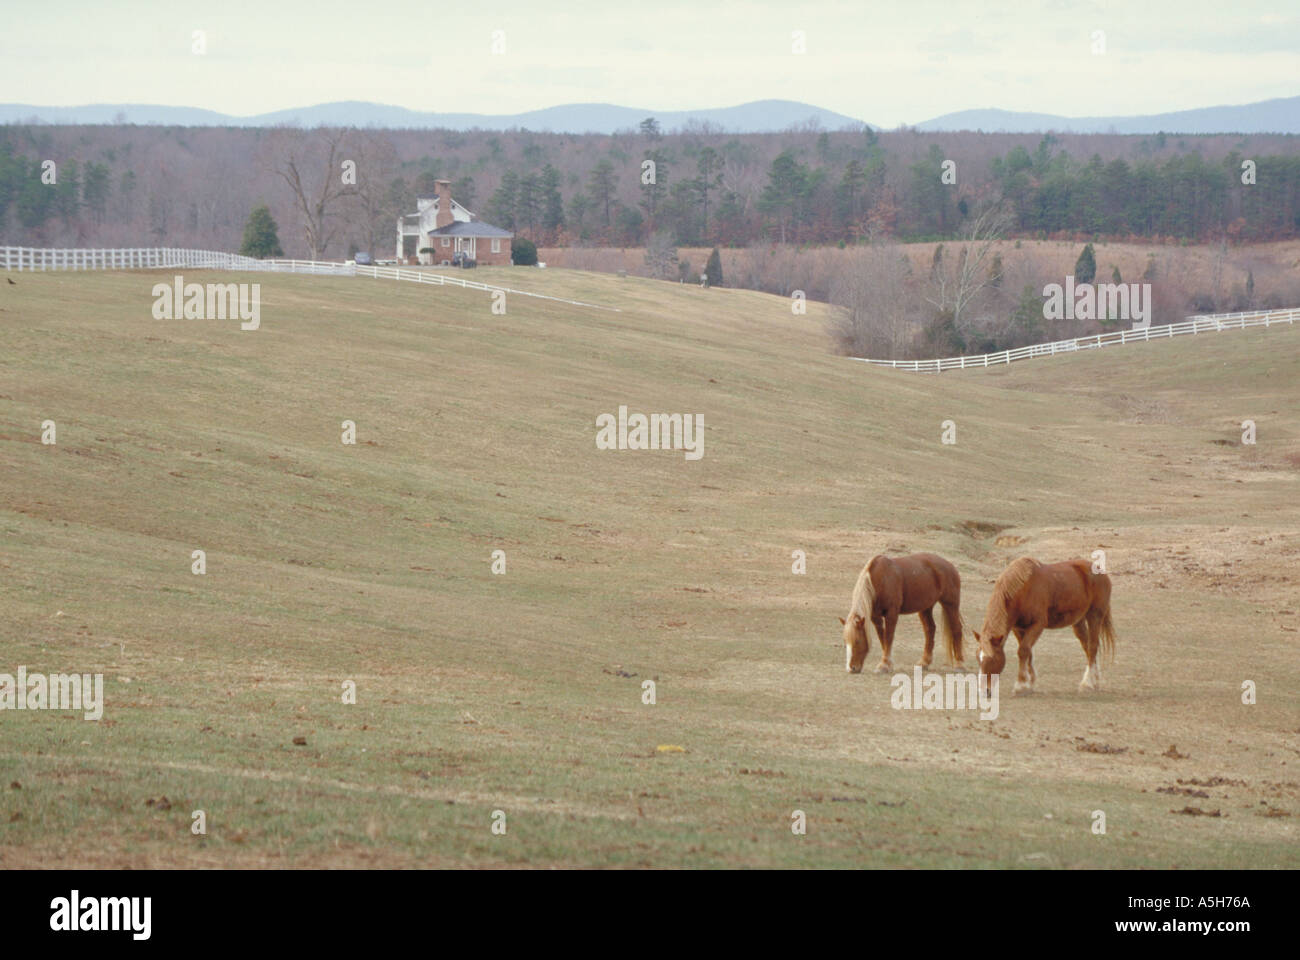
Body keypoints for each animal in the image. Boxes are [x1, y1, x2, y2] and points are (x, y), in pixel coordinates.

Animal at [973, 556, 1116, 695]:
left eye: (992, 659)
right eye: (978, 658)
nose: (983, 691)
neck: (1022, 589)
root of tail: (1100, 571)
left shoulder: (1037, 625)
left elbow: (1023, 650)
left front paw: (1021, 686)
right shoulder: (1018, 628)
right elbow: (1028, 652)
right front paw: (1030, 683)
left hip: (1094, 616)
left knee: (1092, 647)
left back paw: (1087, 684)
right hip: (1078, 622)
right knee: (1087, 647)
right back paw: (1095, 681)